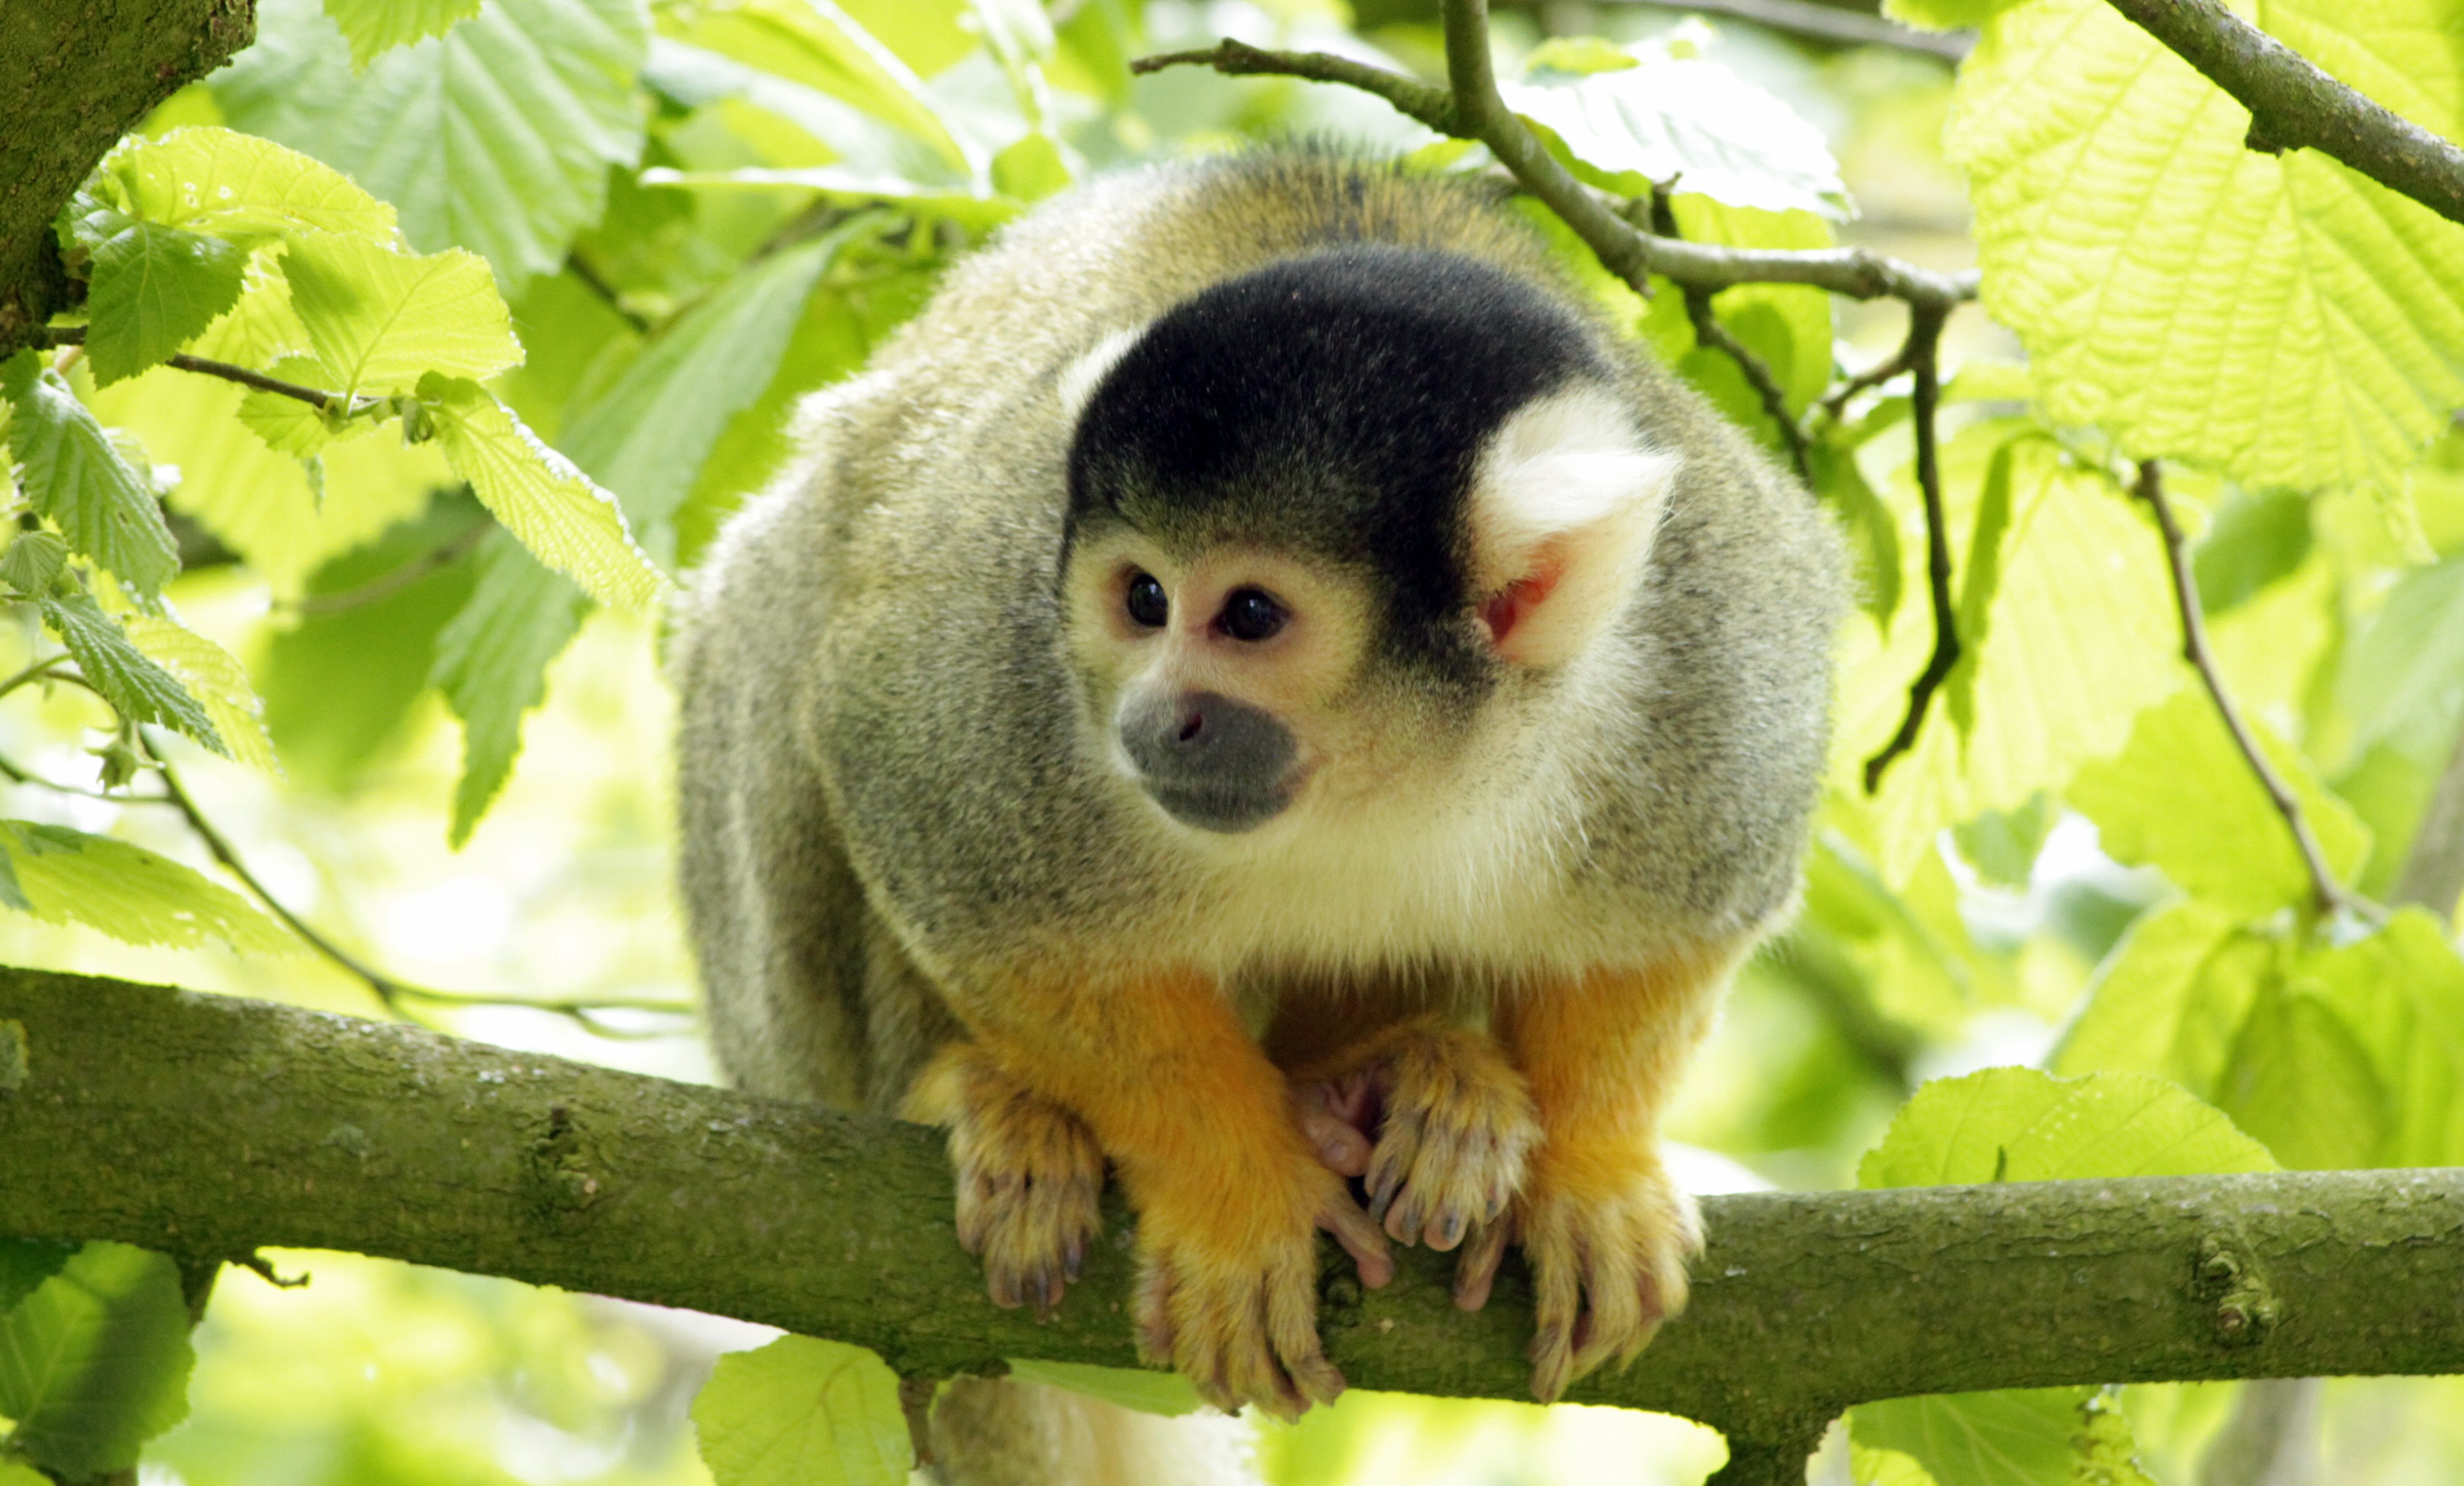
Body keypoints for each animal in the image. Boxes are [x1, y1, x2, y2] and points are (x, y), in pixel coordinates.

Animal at [673, 148, 1842, 1479]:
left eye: (1247, 616)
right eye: (1140, 597)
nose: (1150, 721)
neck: (1407, 766)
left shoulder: (1715, 661)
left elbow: (1680, 928)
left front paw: (1590, 1172)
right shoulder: (1003, 667)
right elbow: (924, 808)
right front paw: (1235, 1200)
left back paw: (1401, 1081)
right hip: (791, 1033)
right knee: (793, 586)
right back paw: (985, 1098)